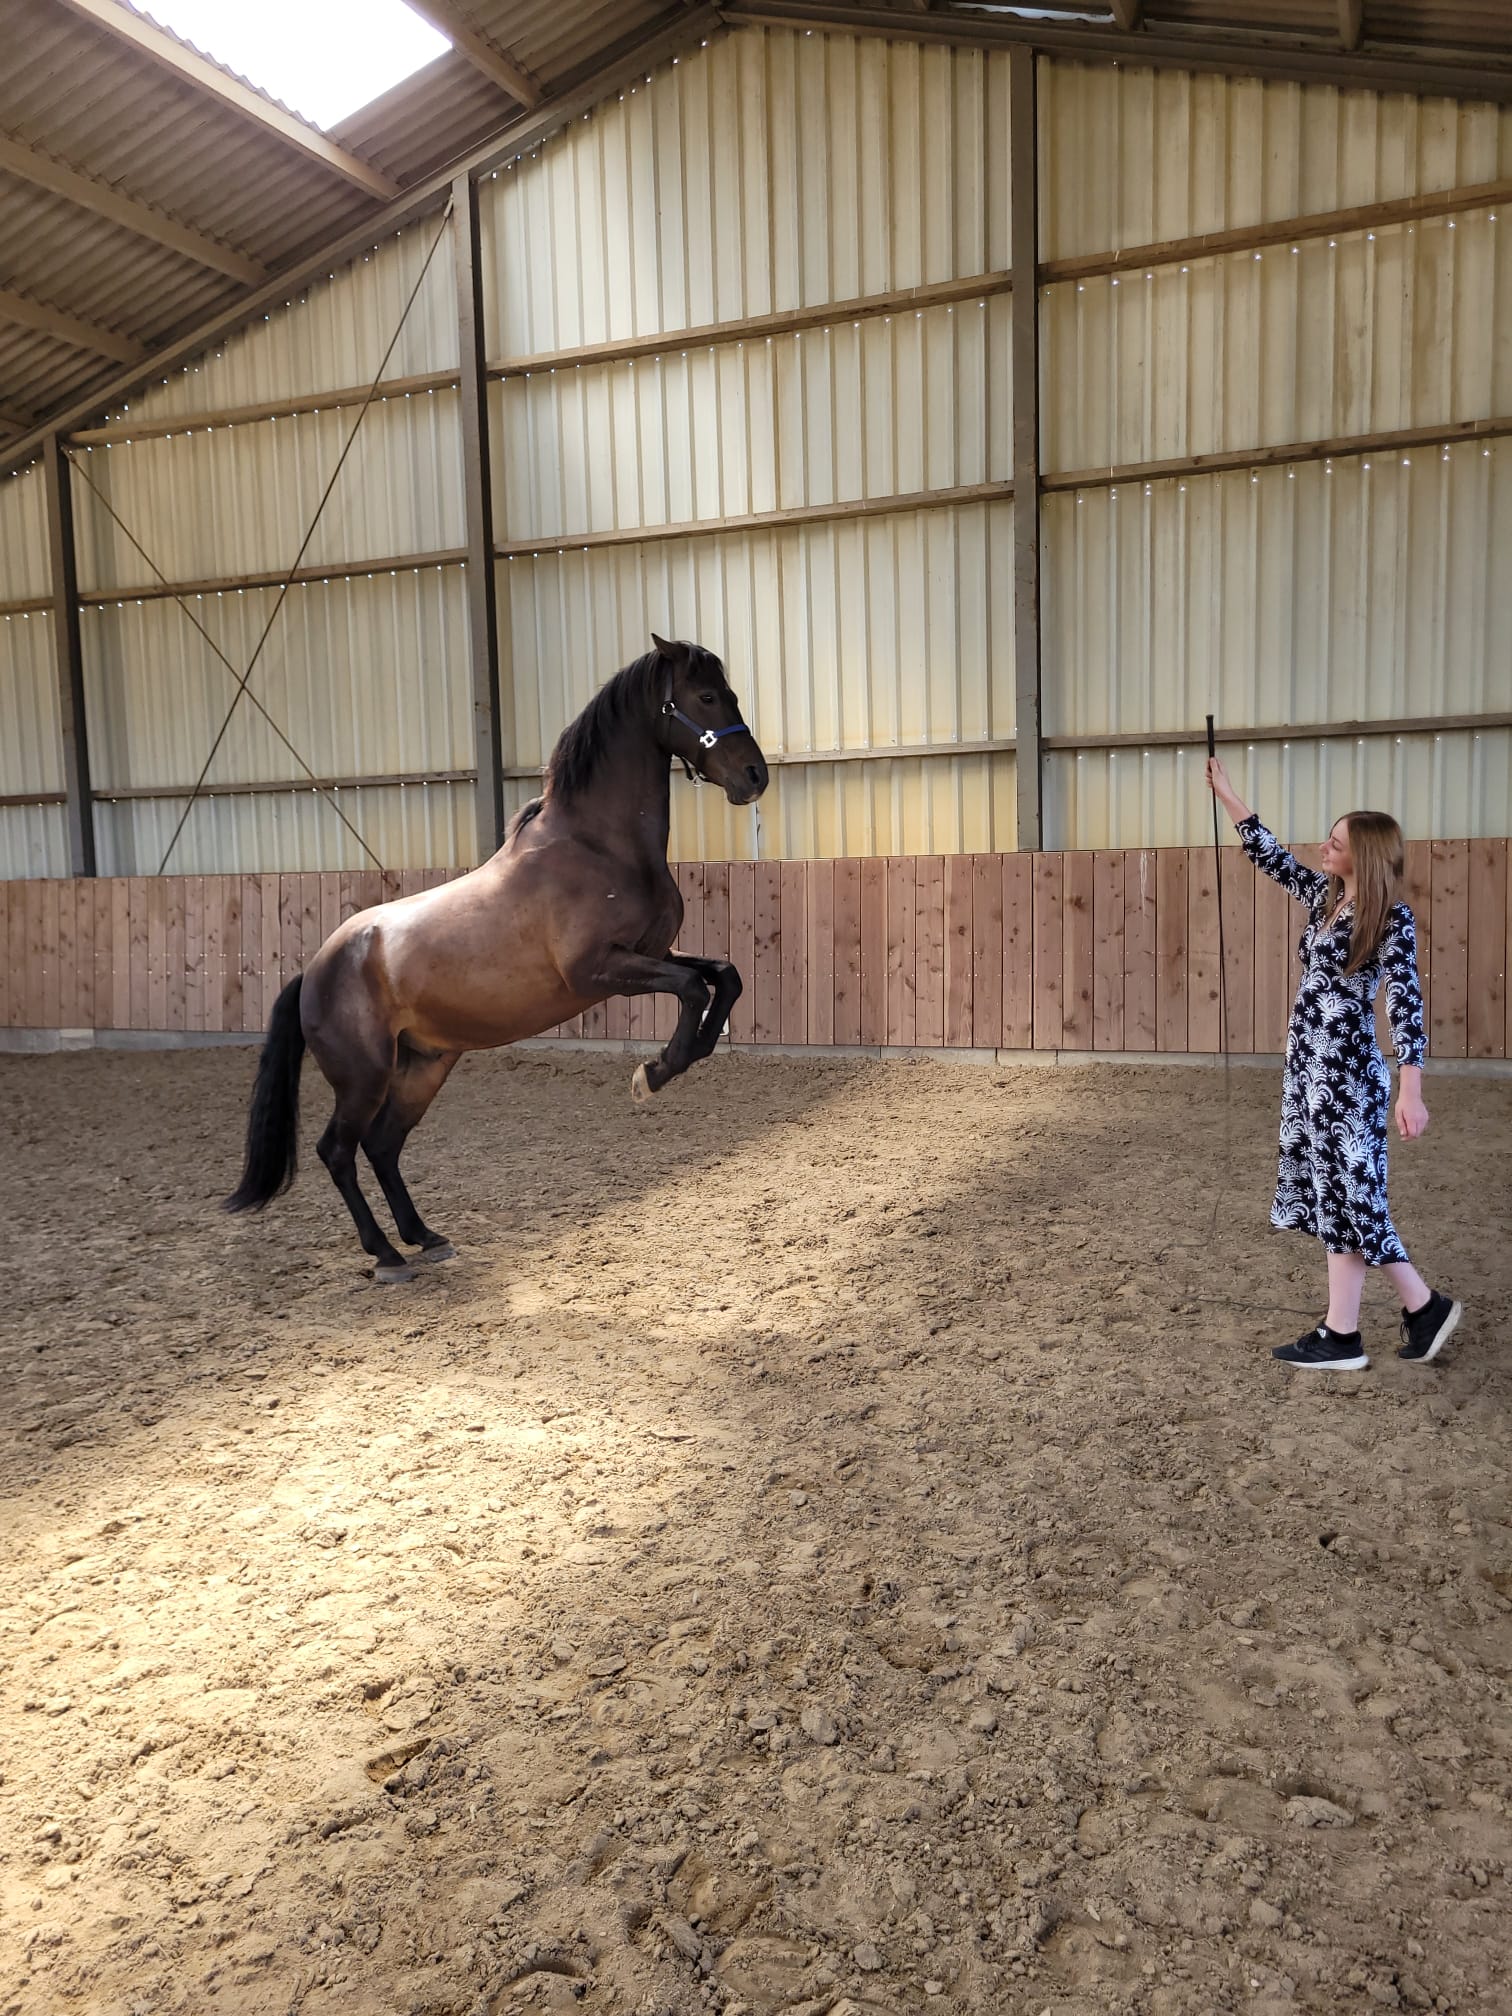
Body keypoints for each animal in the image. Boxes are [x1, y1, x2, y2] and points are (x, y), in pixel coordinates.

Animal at [224, 635, 770, 1281]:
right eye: (706, 696)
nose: (755, 776)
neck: (599, 847)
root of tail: (314, 970)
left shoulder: (656, 952)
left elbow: (725, 978)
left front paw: (672, 1063)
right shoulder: (601, 971)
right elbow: (692, 990)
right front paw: (654, 1073)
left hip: (424, 1066)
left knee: (383, 1143)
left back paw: (424, 1236)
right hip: (365, 1077)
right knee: (337, 1150)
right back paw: (386, 1254)